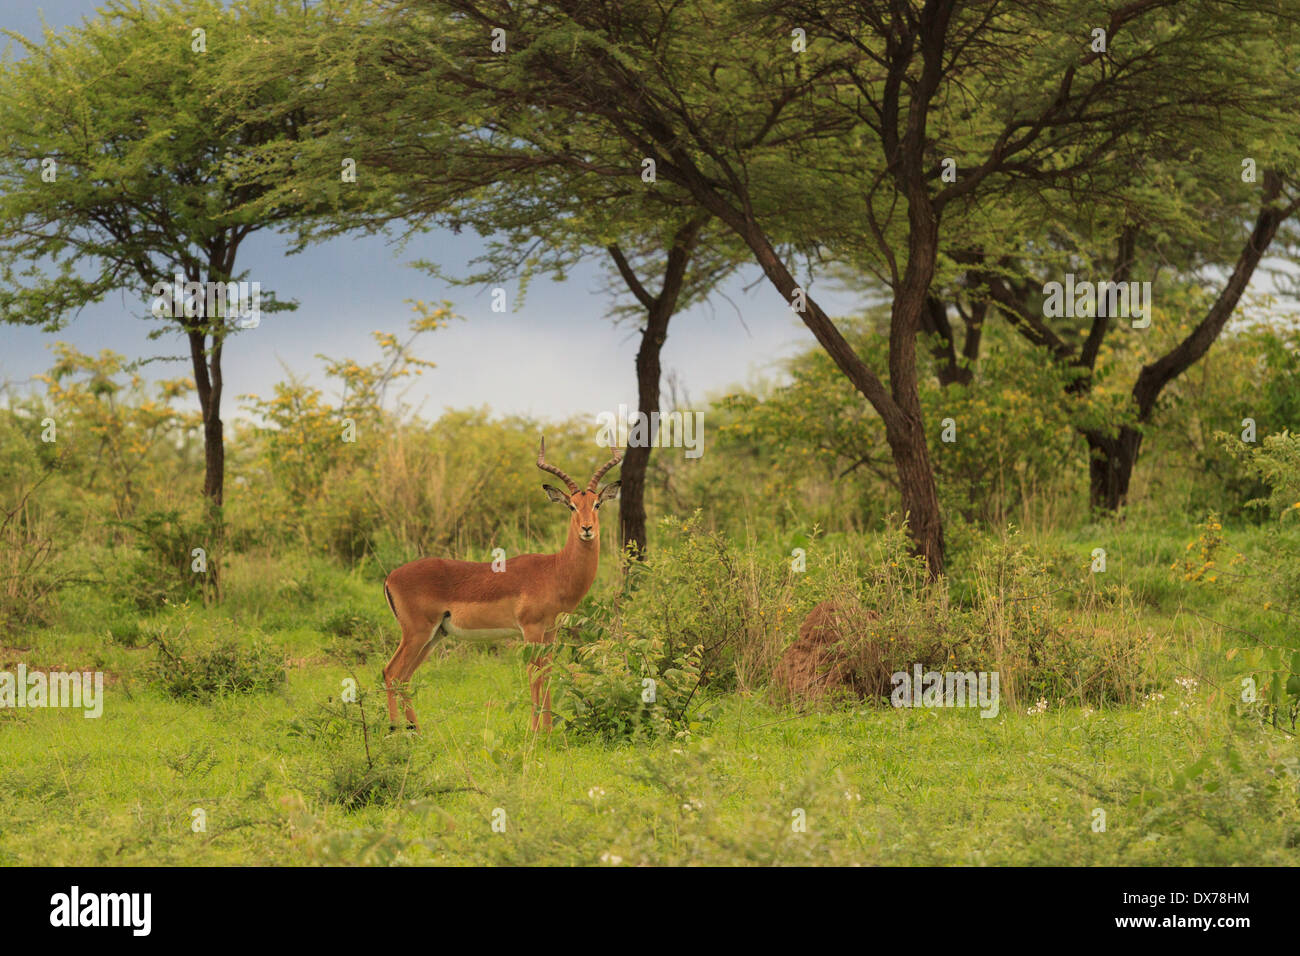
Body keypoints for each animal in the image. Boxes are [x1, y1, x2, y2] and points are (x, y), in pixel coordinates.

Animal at [381, 438, 622, 733]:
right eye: (572, 506)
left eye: (597, 504)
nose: (587, 529)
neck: (555, 570)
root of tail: (391, 576)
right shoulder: (531, 630)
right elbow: (534, 673)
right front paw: (536, 730)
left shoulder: (550, 632)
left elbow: (548, 672)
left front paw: (548, 729)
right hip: (417, 633)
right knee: (391, 672)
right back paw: (396, 730)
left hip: (434, 635)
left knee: (403, 676)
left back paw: (416, 730)